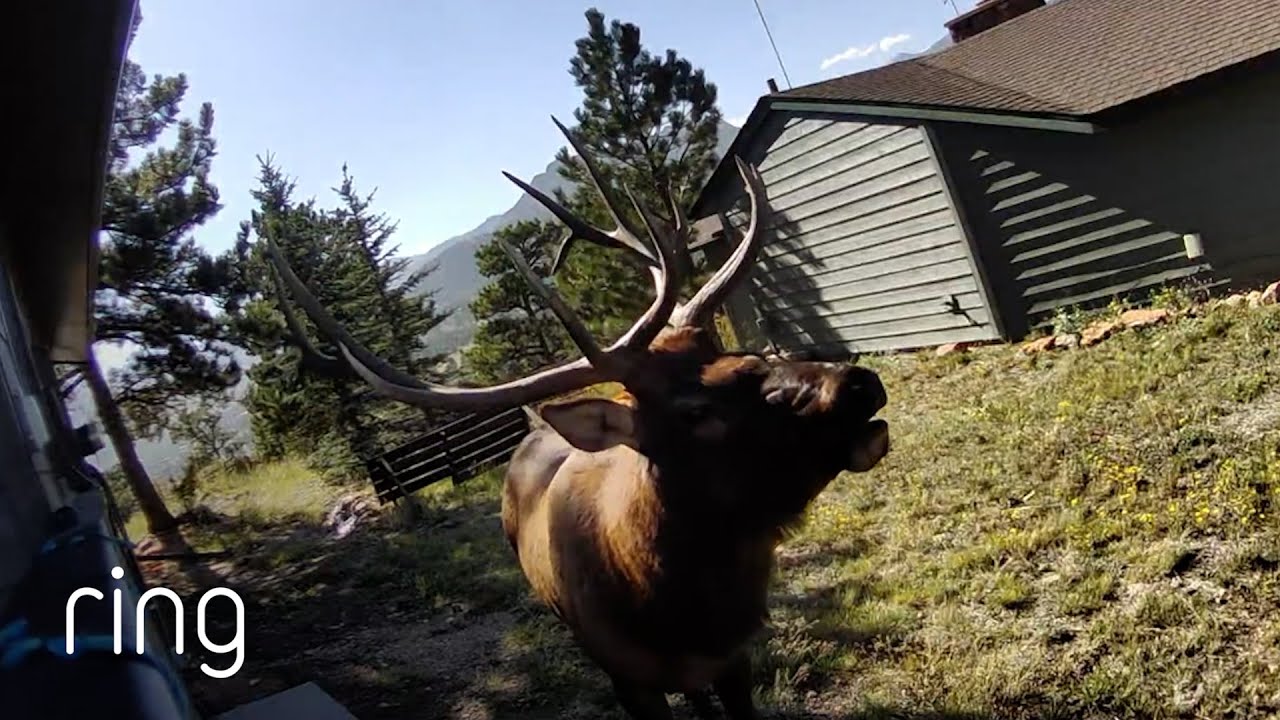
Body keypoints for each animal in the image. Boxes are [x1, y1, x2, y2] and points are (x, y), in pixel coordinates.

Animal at [264, 117, 890, 720]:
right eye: (695, 411)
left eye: (752, 356)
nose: (858, 384)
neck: (679, 613)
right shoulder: (625, 677)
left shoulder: (734, 658)